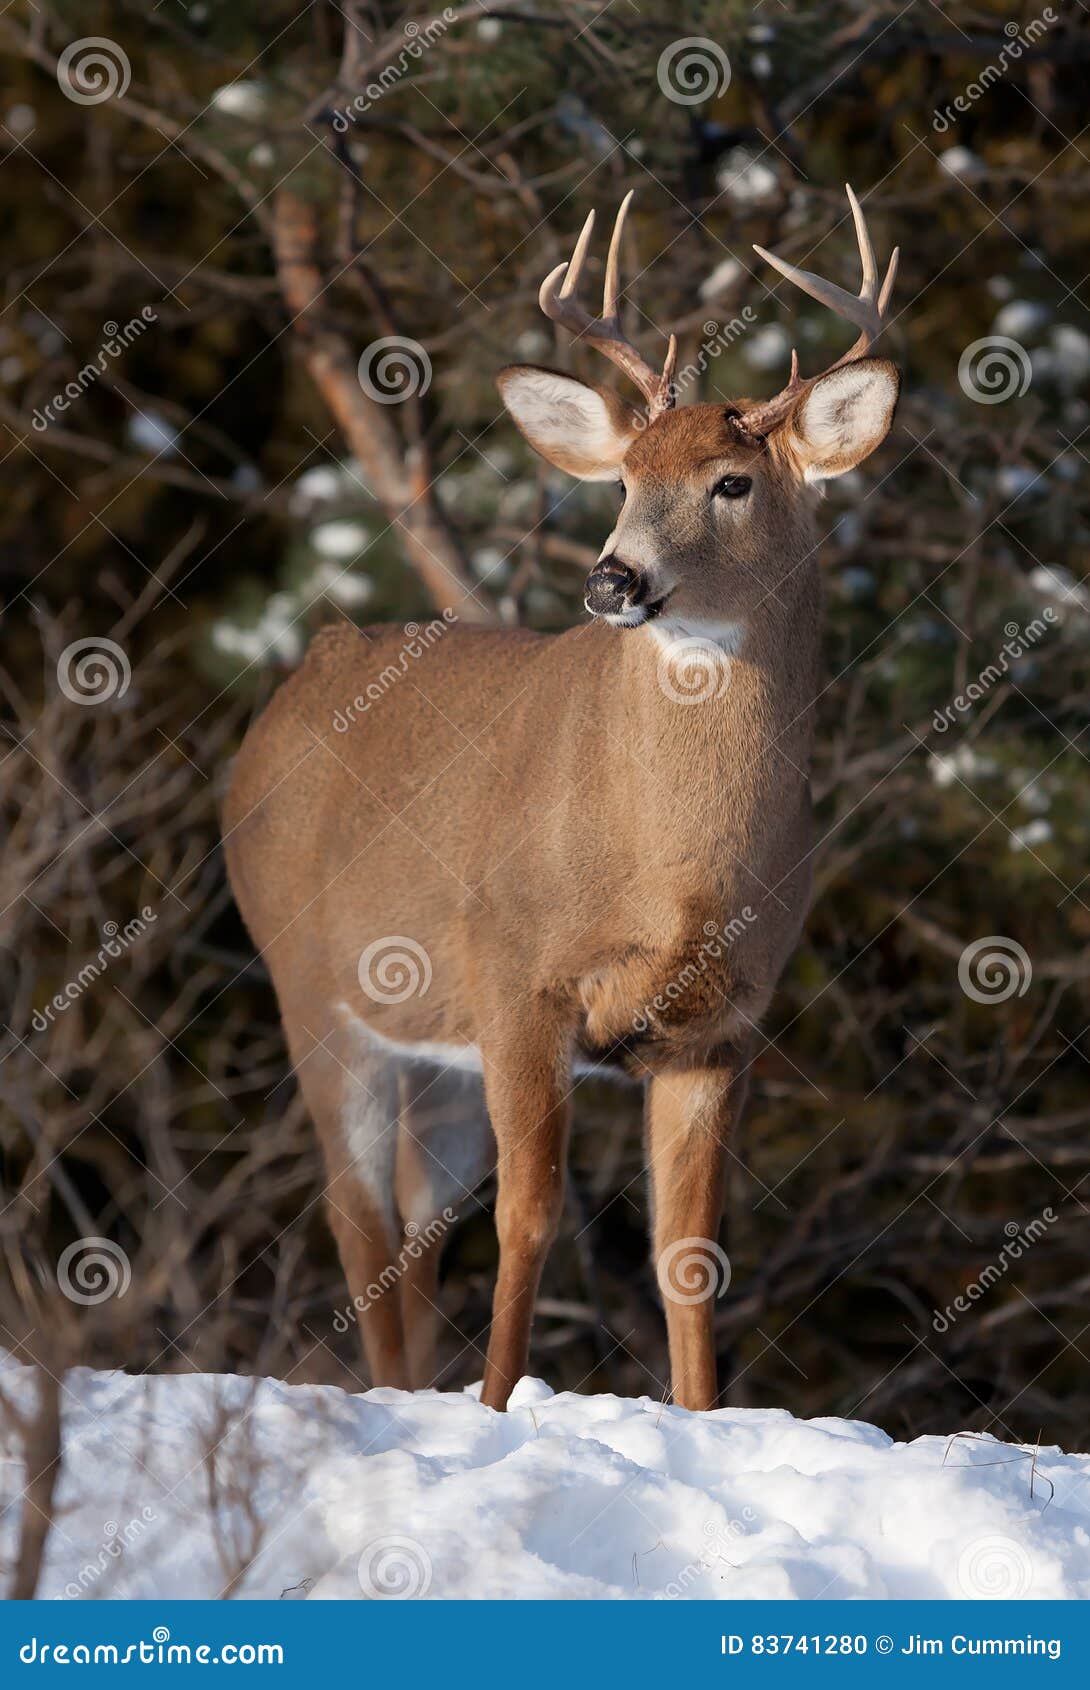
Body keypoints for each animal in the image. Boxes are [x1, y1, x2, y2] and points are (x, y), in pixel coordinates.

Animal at [224, 185, 901, 1412]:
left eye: (732, 482)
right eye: (625, 479)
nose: (611, 578)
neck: (670, 872)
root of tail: (284, 699)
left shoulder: (723, 1025)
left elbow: (687, 1254)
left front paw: (698, 1417)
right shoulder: (515, 976)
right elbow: (530, 1221)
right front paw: (499, 1409)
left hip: (431, 1056)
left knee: (413, 1225)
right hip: (310, 984)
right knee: (357, 1216)